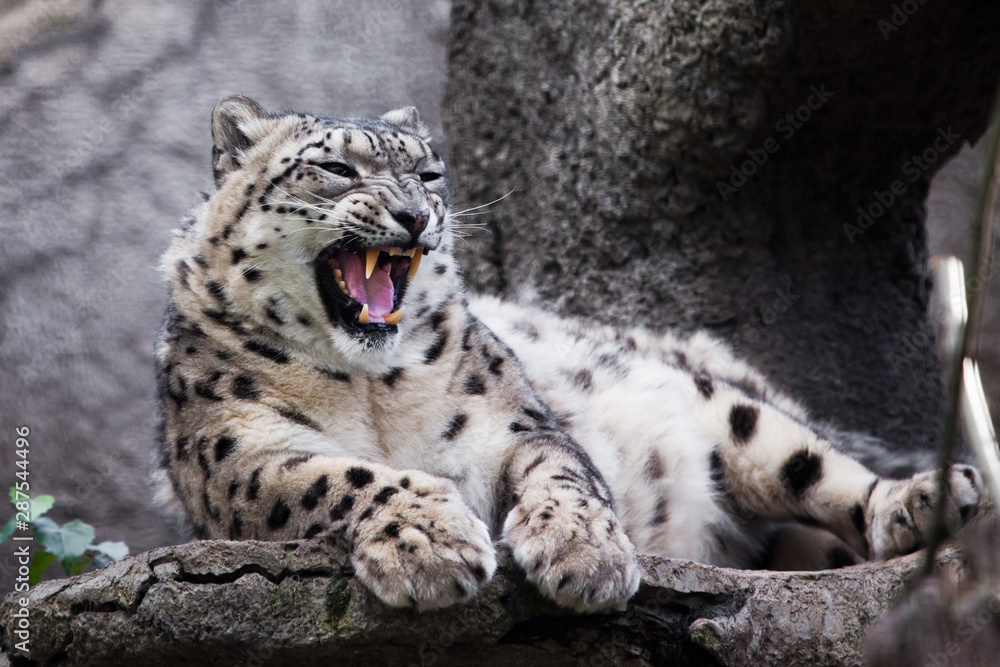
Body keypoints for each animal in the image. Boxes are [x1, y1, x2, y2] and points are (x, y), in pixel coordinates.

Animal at [154, 96, 985, 613]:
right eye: (337, 168)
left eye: (428, 171)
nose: (416, 213)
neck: (371, 386)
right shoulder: (240, 455)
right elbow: (347, 475)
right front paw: (432, 544)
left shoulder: (516, 424)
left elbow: (565, 471)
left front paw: (586, 556)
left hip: (726, 408)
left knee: (818, 465)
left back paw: (926, 498)